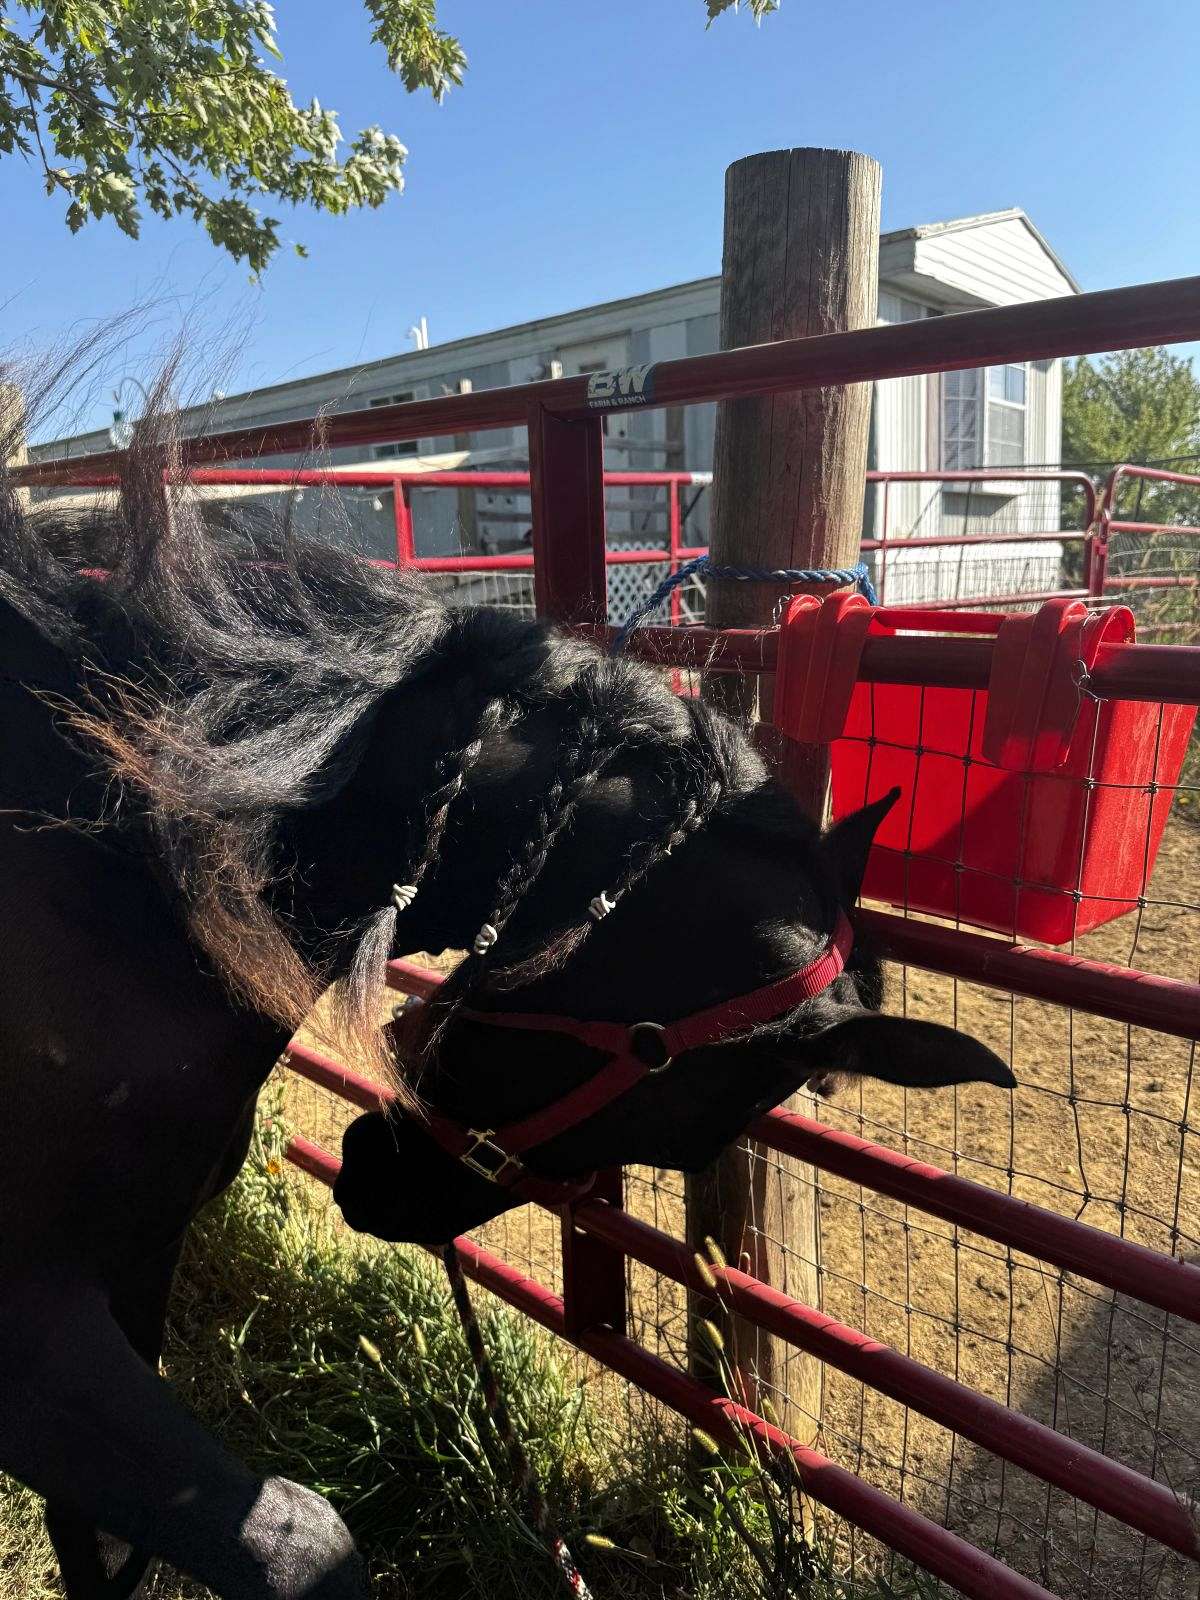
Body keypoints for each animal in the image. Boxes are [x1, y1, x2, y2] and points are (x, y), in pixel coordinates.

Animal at [0, 414, 1014, 1599]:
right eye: (671, 1091)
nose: (370, 1174)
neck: (116, 867)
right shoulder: (33, 1335)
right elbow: (298, 1538)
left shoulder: (133, 1270)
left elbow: (109, 1551)